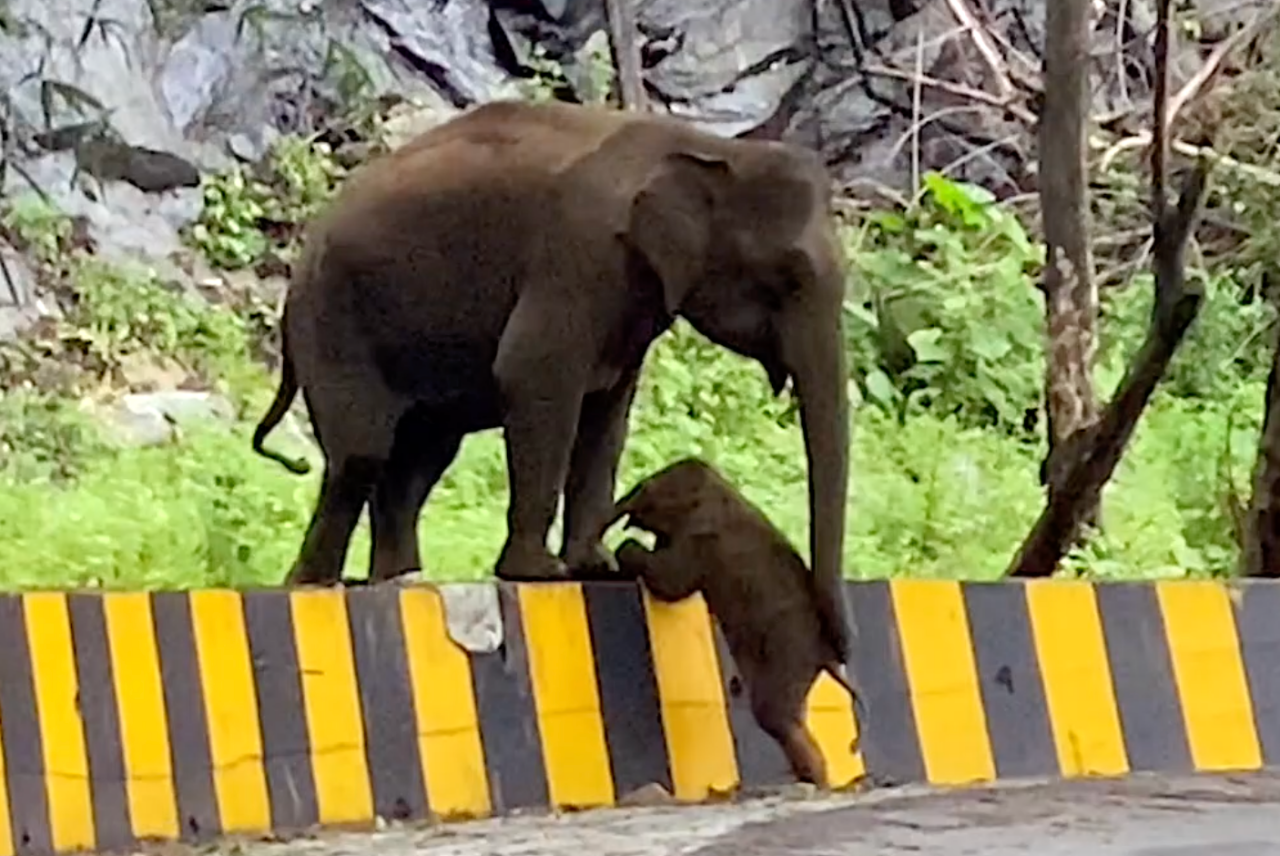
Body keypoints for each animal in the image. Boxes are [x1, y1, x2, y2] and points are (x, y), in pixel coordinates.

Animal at [250, 98, 853, 662]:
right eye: (788, 277)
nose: (840, 650)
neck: (710, 147)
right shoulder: (578, 254)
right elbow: (534, 375)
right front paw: (541, 572)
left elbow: (609, 410)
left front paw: (595, 565)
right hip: (332, 322)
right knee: (363, 456)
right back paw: (315, 586)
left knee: (417, 463)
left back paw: (401, 580)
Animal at [603, 457, 862, 788]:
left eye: (647, 489)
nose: (617, 515)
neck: (718, 487)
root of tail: (827, 657)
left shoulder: (701, 541)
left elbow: (671, 582)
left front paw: (625, 550)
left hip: (788, 655)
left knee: (773, 714)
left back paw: (813, 783)